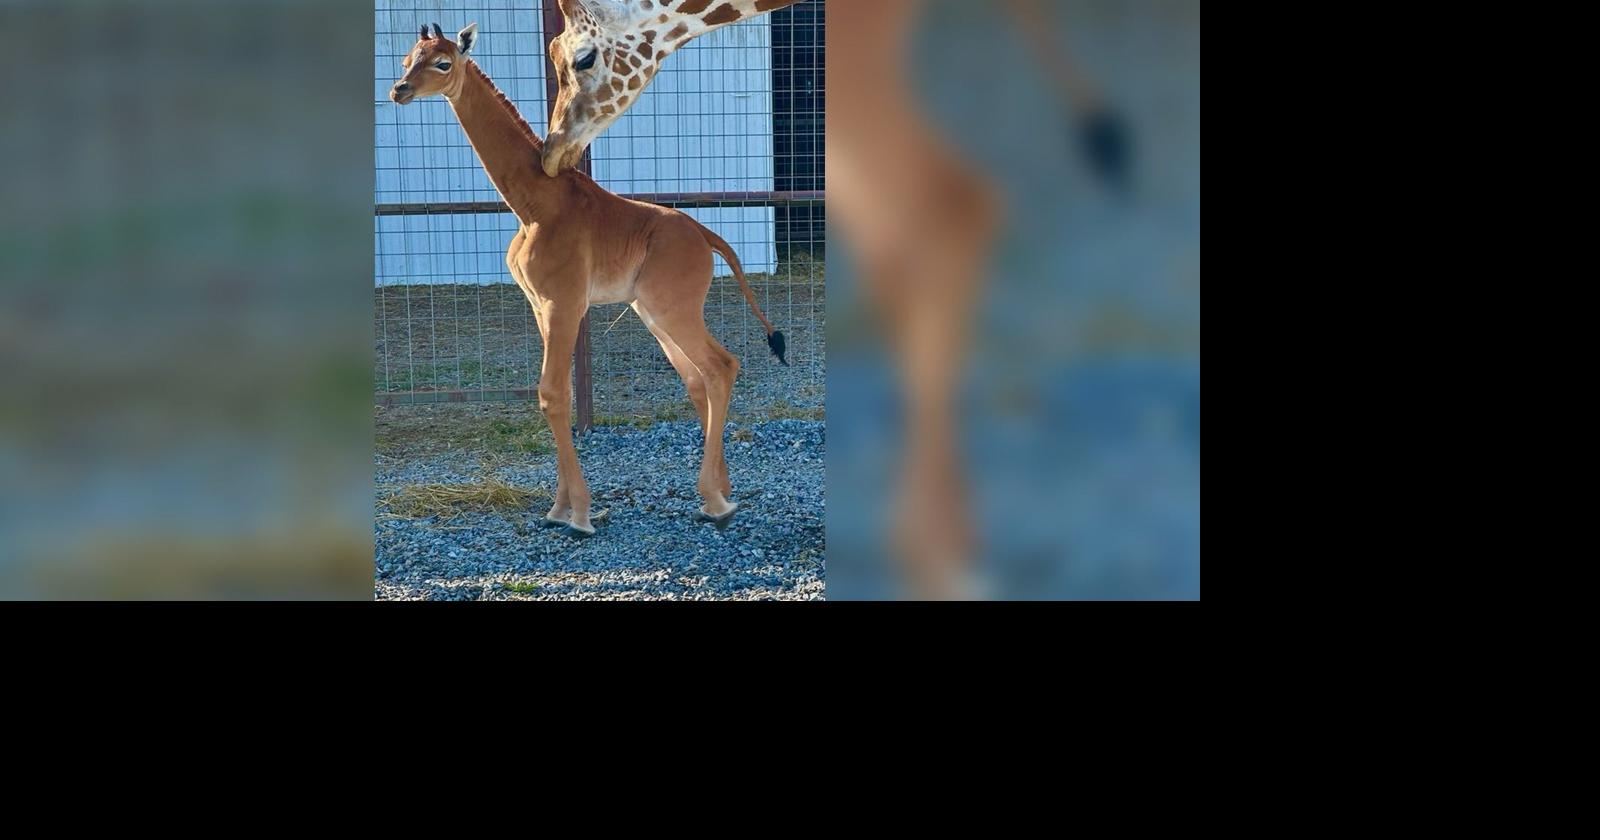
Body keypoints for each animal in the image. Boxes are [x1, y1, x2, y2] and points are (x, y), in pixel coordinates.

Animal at [390, 22, 787, 536]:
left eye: (442, 63)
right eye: (406, 60)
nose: (399, 90)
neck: (534, 205)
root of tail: (706, 235)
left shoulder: (564, 303)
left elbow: (553, 394)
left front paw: (577, 513)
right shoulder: (540, 305)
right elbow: (554, 396)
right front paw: (559, 508)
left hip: (672, 308)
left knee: (720, 366)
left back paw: (716, 501)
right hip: (652, 313)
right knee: (697, 378)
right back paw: (721, 490)